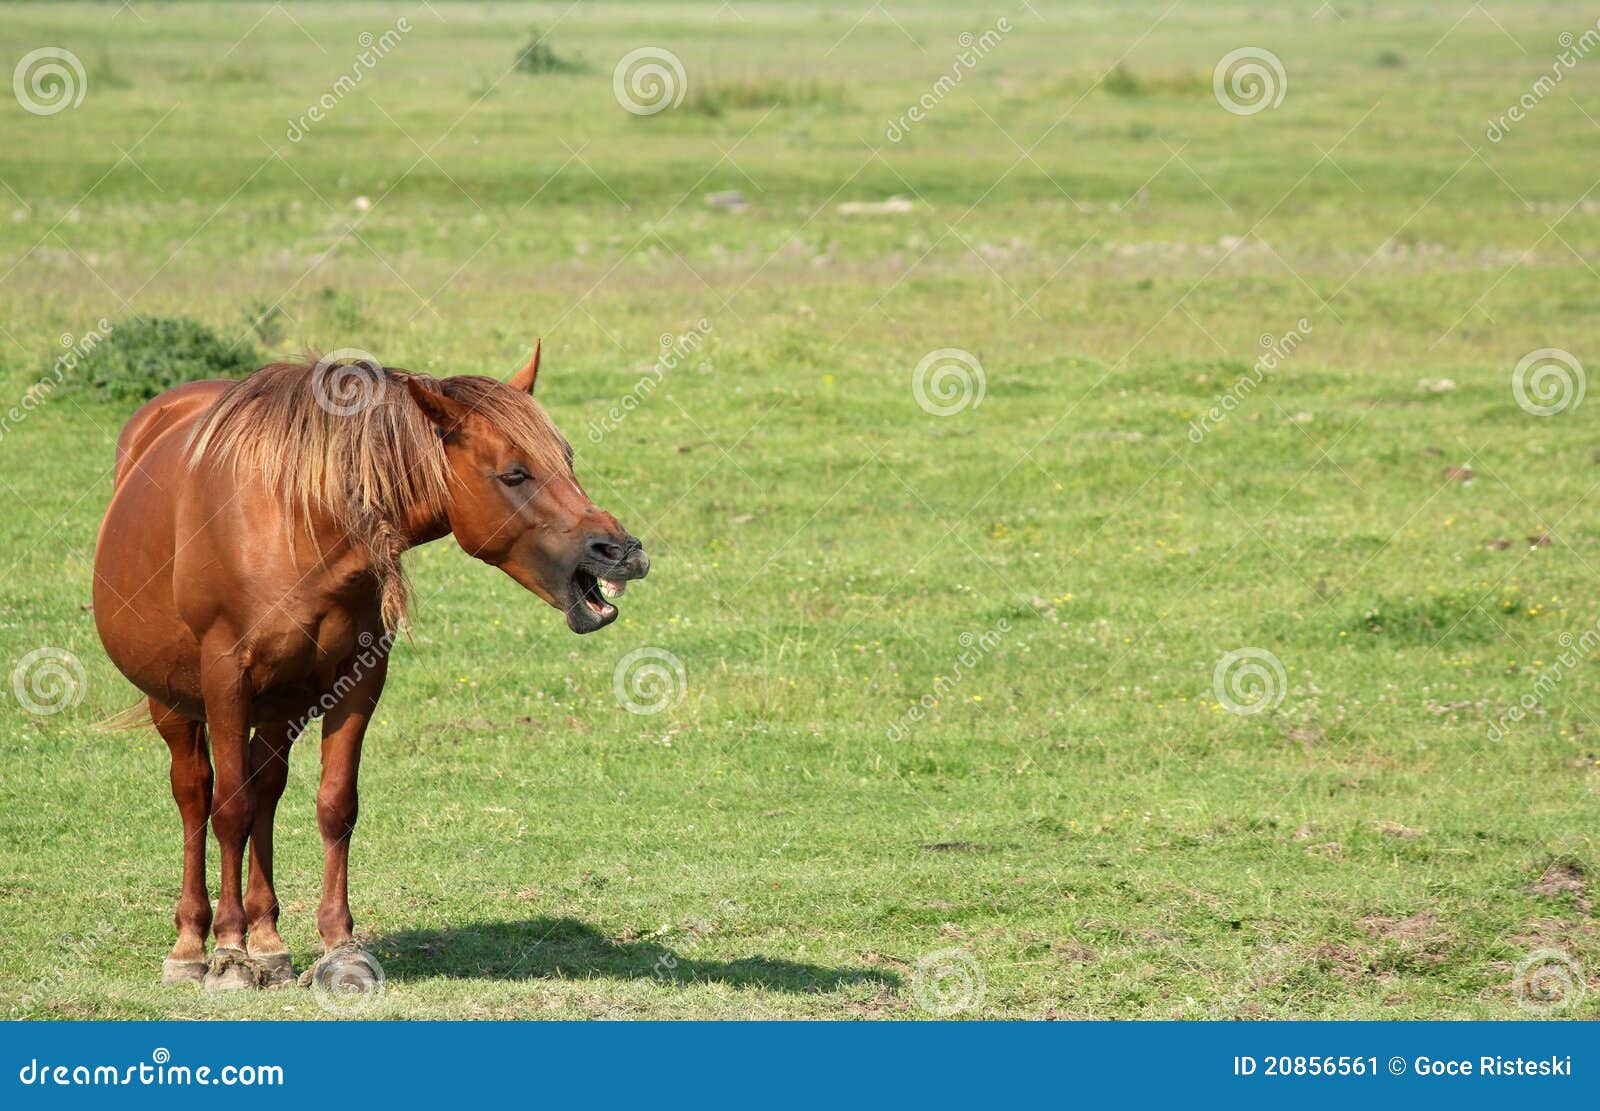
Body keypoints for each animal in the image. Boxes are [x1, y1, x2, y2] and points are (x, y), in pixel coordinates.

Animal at [91, 346, 649, 990]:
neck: (298, 519)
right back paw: (194, 945)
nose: (622, 551)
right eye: (514, 473)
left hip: (278, 708)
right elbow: (228, 810)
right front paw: (229, 955)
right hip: (176, 704)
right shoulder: (225, 679)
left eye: (568, 458)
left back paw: (268, 940)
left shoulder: (359, 680)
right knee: (195, 795)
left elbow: (335, 806)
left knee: (266, 790)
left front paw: (339, 948)